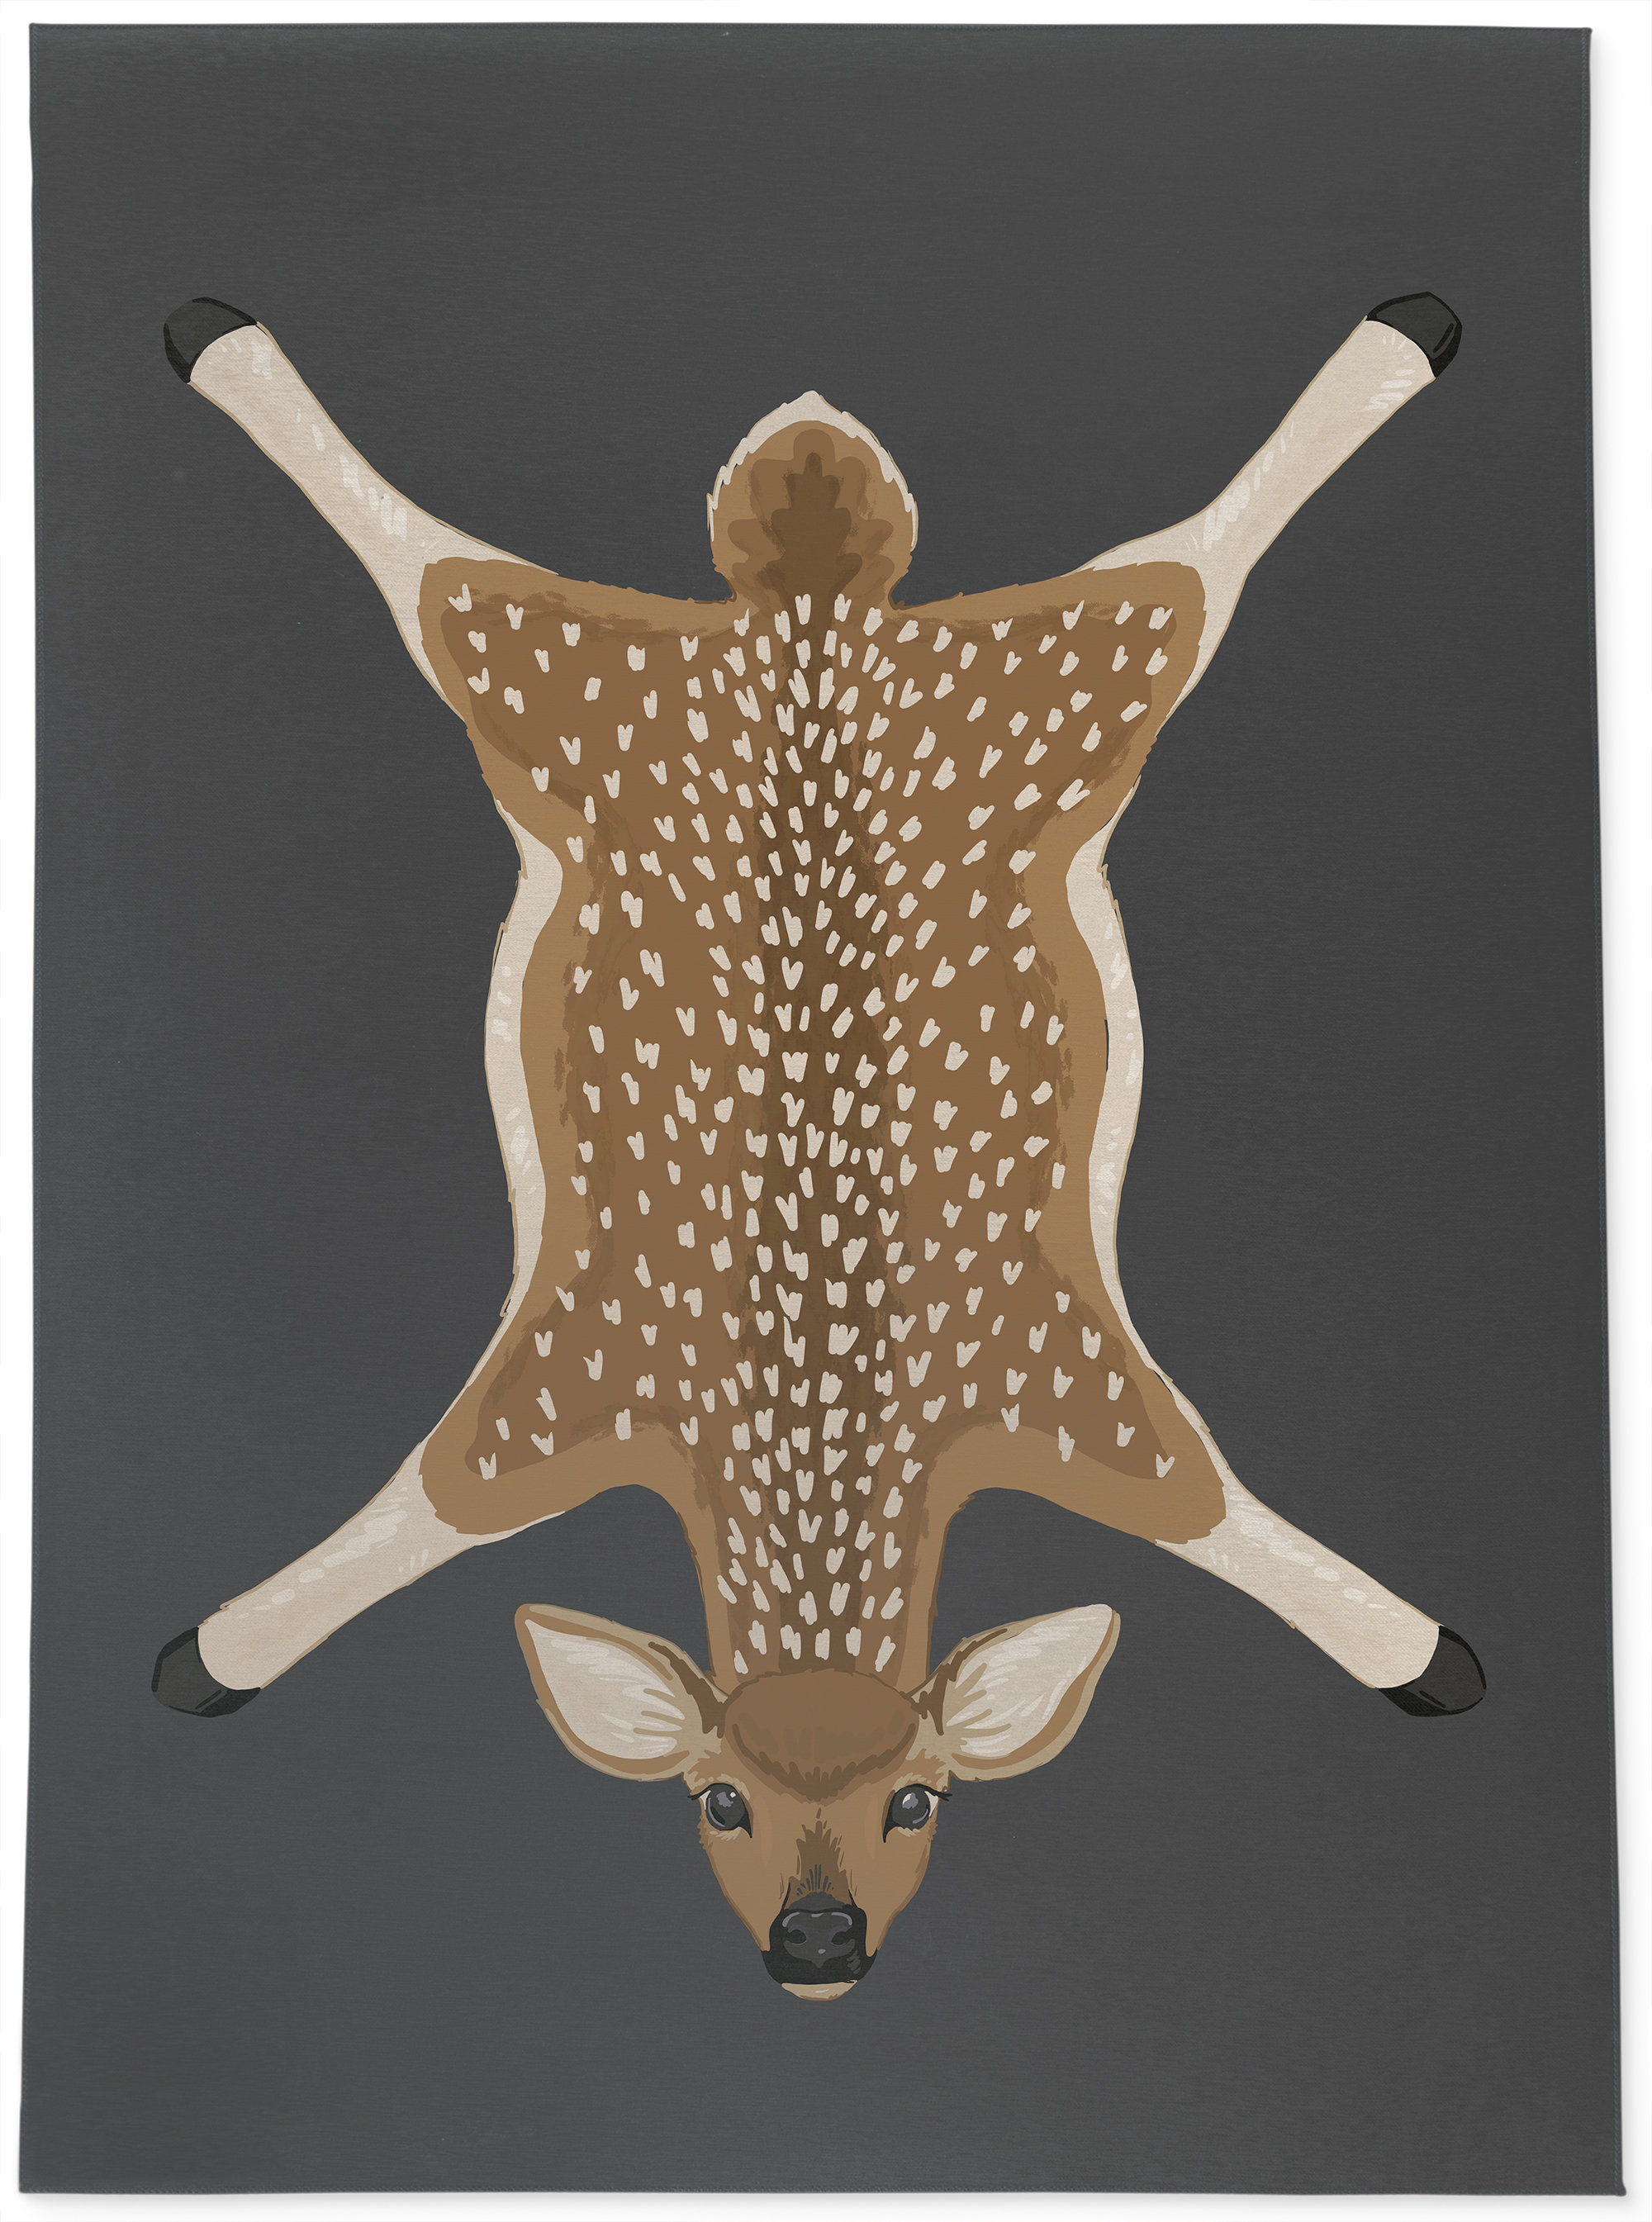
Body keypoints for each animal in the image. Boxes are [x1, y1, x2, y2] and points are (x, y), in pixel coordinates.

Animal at [151, 290, 1482, 1998]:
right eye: (714, 1799)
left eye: (925, 1798)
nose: (818, 1939)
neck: (819, 1418)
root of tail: (811, 590)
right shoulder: (566, 1387)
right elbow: (418, 1498)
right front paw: (211, 1652)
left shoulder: (1069, 1387)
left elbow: (1220, 1504)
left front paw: (1424, 1650)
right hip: (604, 673)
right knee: (438, 568)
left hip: (1029, 667)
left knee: (1184, 564)